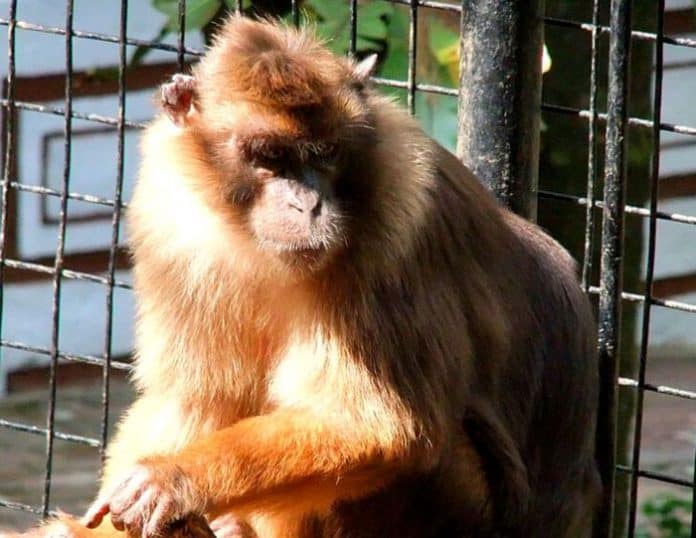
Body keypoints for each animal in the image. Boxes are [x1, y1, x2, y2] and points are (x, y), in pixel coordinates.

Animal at [3, 15, 601, 538]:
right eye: (269, 155)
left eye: (326, 154)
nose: (308, 205)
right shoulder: (169, 214)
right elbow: (196, 397)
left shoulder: (397, 224)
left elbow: (383, 428)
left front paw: (172, 480)